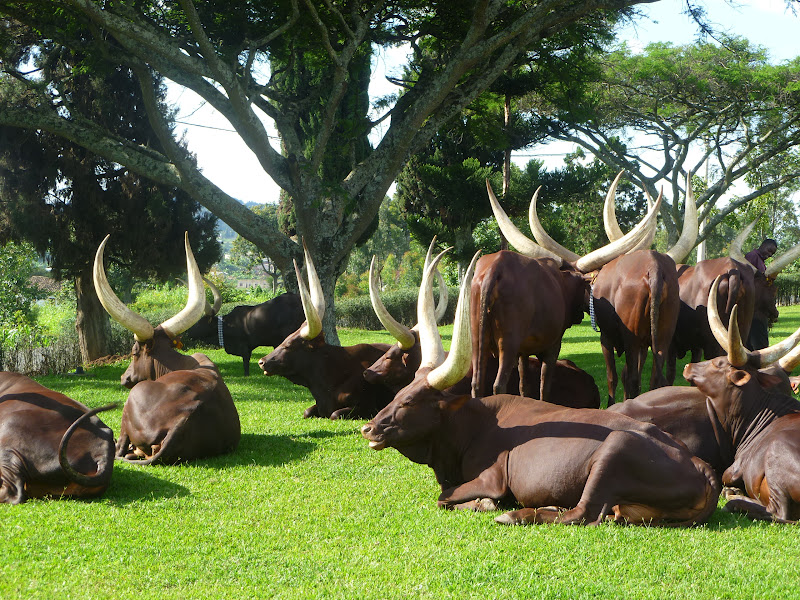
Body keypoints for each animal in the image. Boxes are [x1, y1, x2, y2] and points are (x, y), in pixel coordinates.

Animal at [365, 253, 601, 408]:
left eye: (388, 356)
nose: (367, 372)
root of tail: (496, 266)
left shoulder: (524, 352)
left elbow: (526, 386)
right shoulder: (552, 347)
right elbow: (543, 387)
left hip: (479, 341)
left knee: (478, 384)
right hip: (506, 344)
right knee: (498, 384)